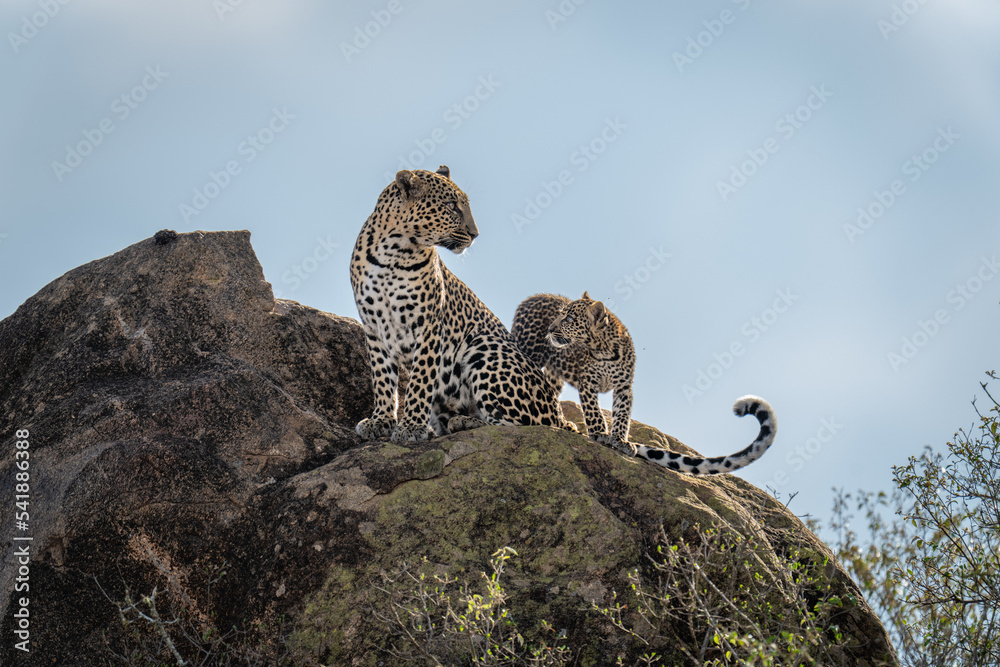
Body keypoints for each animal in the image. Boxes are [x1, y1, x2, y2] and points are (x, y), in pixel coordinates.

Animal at [349, 166, 578, 443]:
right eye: (451, 206)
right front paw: (380, 421)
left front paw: (411, 427)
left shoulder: (429, 327)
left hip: (484, 346)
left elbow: (419, 381)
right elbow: (382, 378)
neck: (393, 253)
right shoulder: (374, 329)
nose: (475, 234)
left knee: (521, 426)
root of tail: (560, 414)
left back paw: (463, 422)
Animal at [511, 292, 777, 475]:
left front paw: (620, 441)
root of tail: (532, 297)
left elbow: (622, 415)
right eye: (561, 315)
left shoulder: (624, 388)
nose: (551, 328)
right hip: (529, 352)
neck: (604, 350)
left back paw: (563, 422)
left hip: (554, 372)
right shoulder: (588, 384)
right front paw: (599, 433)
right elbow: (594, 411)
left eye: (568, 318)